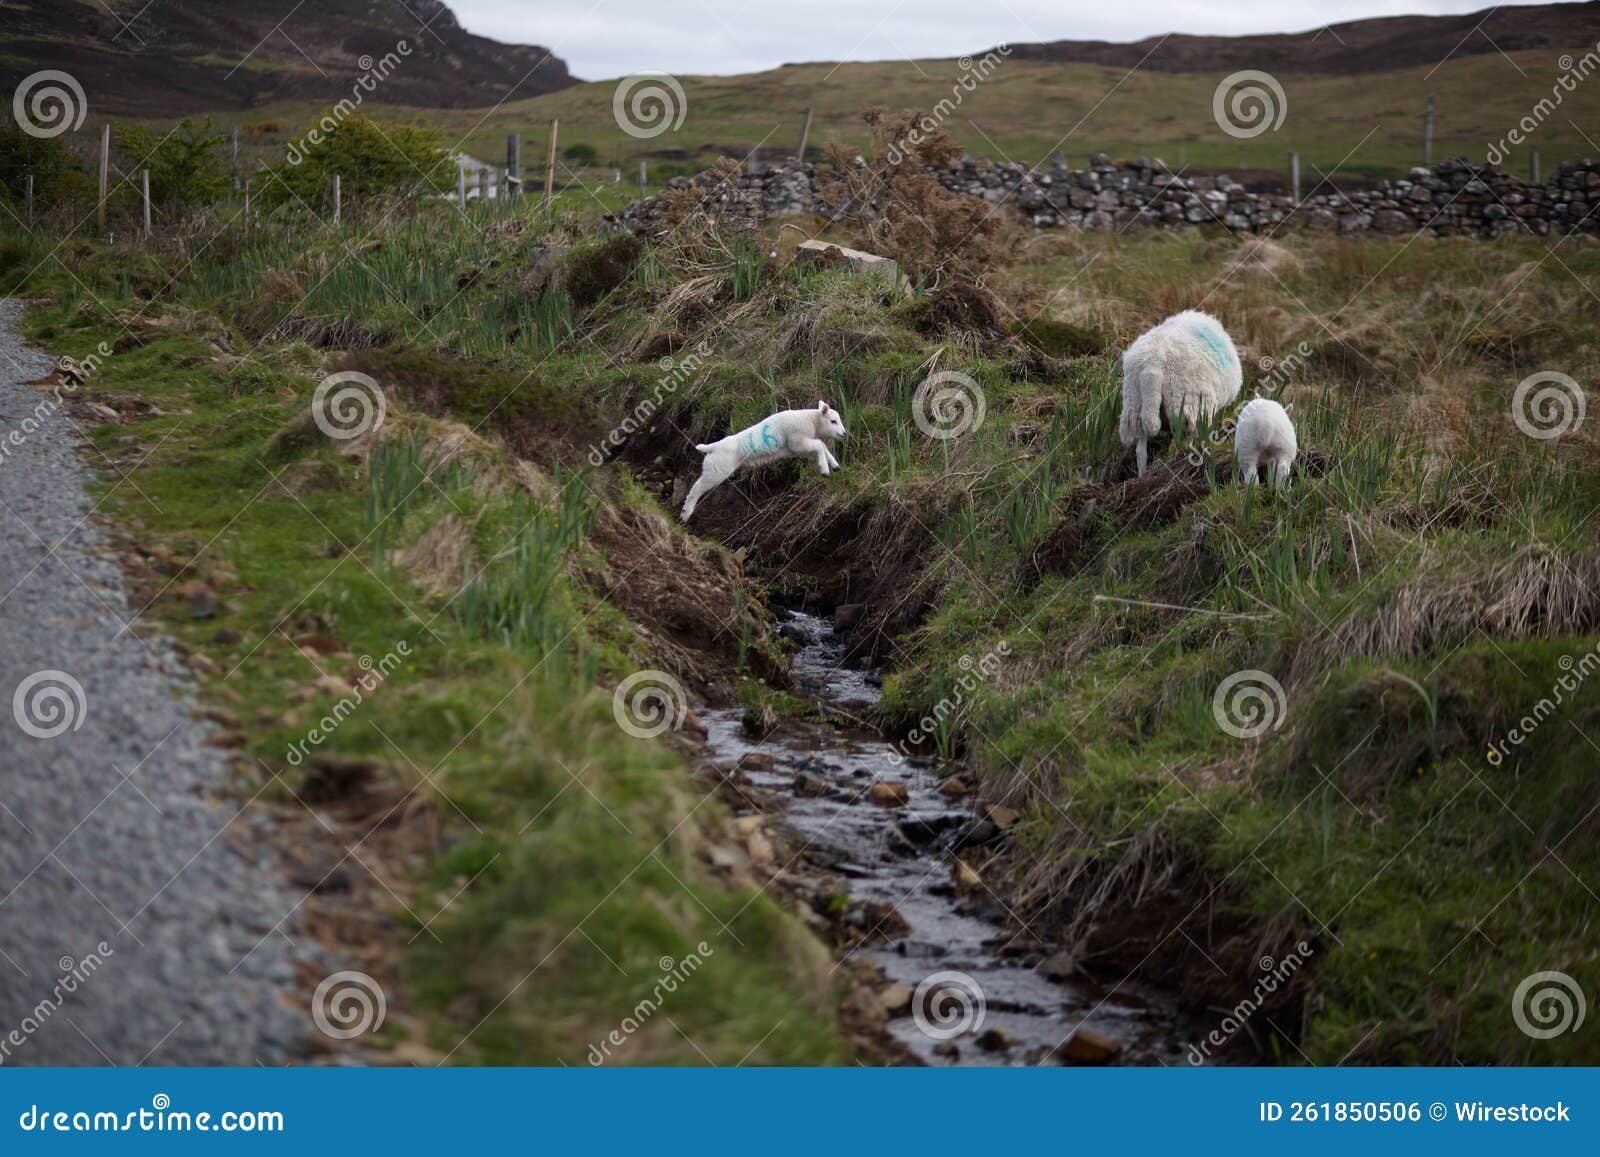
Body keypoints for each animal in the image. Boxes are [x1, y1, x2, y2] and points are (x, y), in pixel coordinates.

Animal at [680, 401, 847, 521]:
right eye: (833, 421)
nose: (844, 434)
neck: (810, 421)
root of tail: (712, 446)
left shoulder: (796, 448)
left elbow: (822, 446)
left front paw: (834, 465)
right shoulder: (797, 441)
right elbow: (820, 444)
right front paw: (825, 470)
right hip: (717, 469)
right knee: (696, 488)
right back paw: (685, 512)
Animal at [1119, 309, 1243, 476]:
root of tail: (1152, 366)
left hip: (1134, 403)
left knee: (1141, 450)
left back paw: (1142, 475)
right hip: (1188, 406)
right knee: (1189, 440)